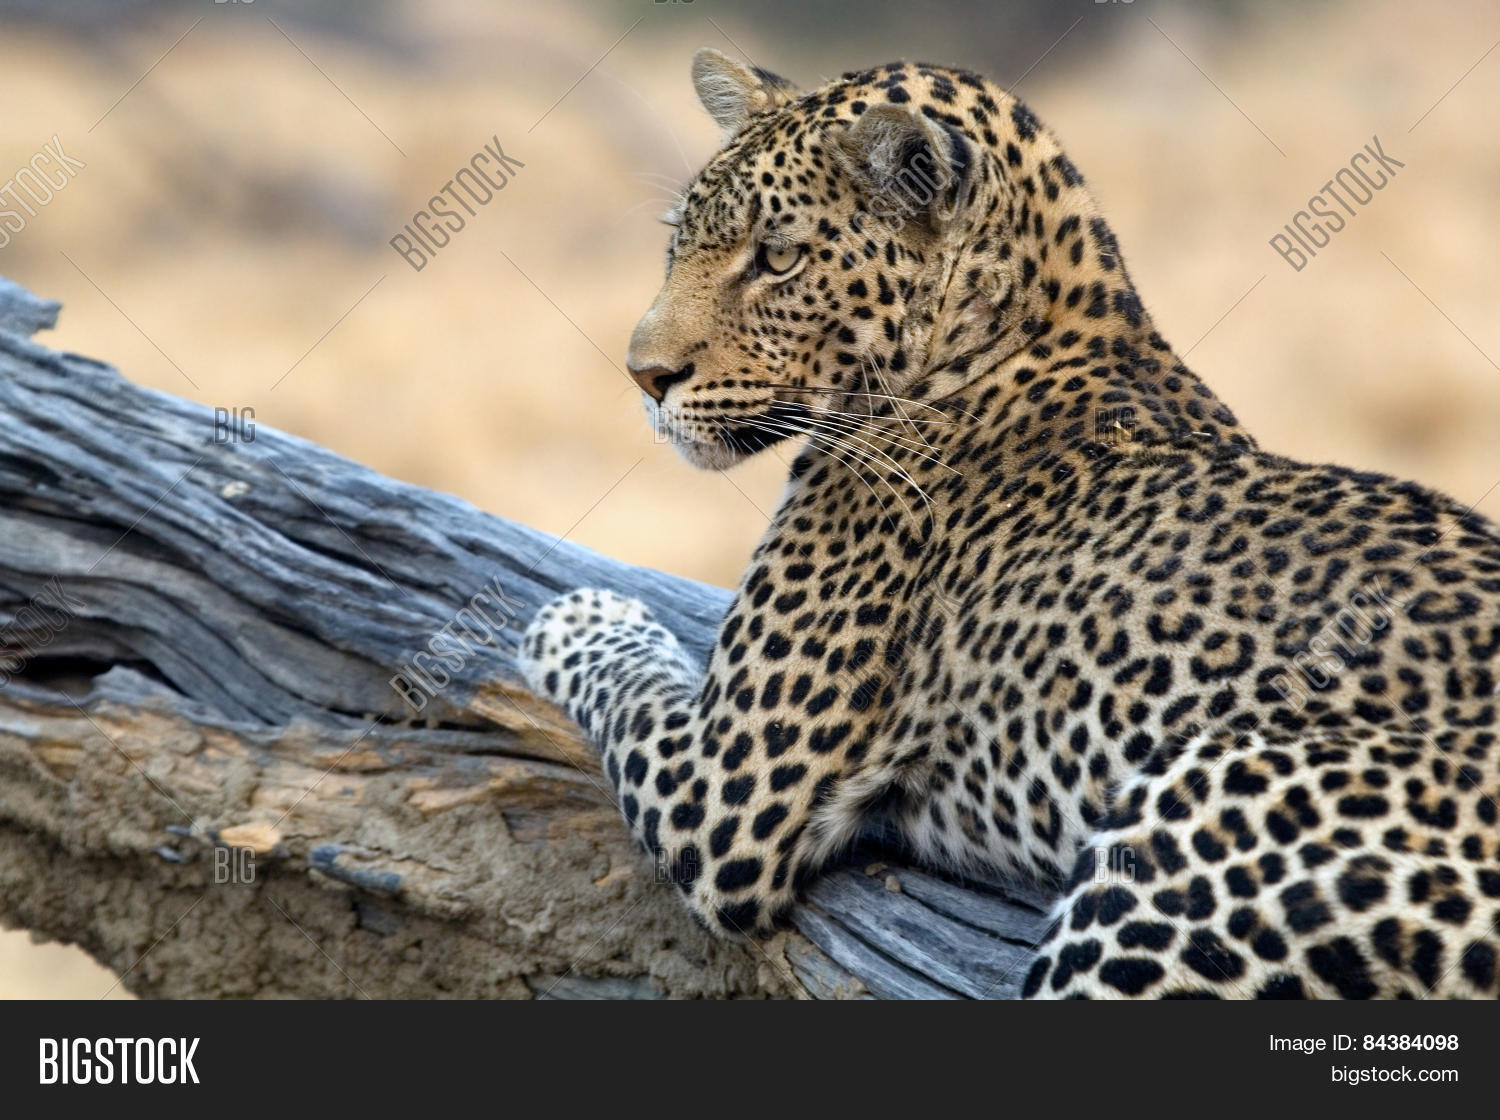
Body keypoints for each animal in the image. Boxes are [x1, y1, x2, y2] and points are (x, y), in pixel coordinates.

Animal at [517, 48, 1500, 999]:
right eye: (677, 244)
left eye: (779, 258)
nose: (644, 376)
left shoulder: (725, 793)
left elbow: (627, 676)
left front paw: (579, 613)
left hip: (1186, 818)